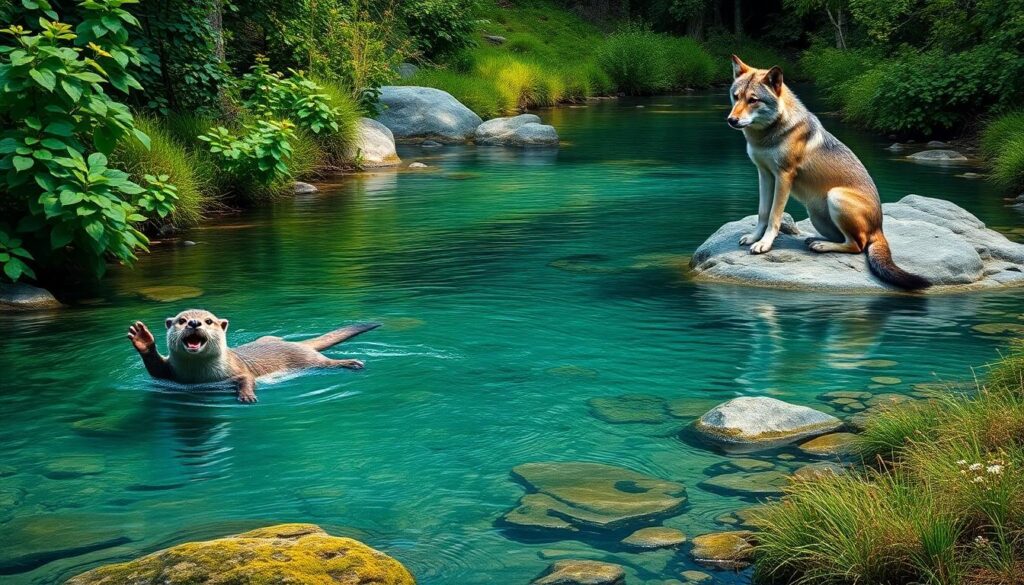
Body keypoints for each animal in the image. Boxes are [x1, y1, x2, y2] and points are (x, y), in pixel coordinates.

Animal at [725, 55, 929, 290]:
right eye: (736, 97)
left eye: (753, 100)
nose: (731, 120)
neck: (767, 134)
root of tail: (880, 228)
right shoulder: (765, 175)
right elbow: (762, 213)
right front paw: (754, 238)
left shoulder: (783, 177)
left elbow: (774, 217)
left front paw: (765, 244)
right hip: (816, 215)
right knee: (846, 240)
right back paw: (816, 241)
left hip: (835, 196)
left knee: (858, 246)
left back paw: (821, 246)